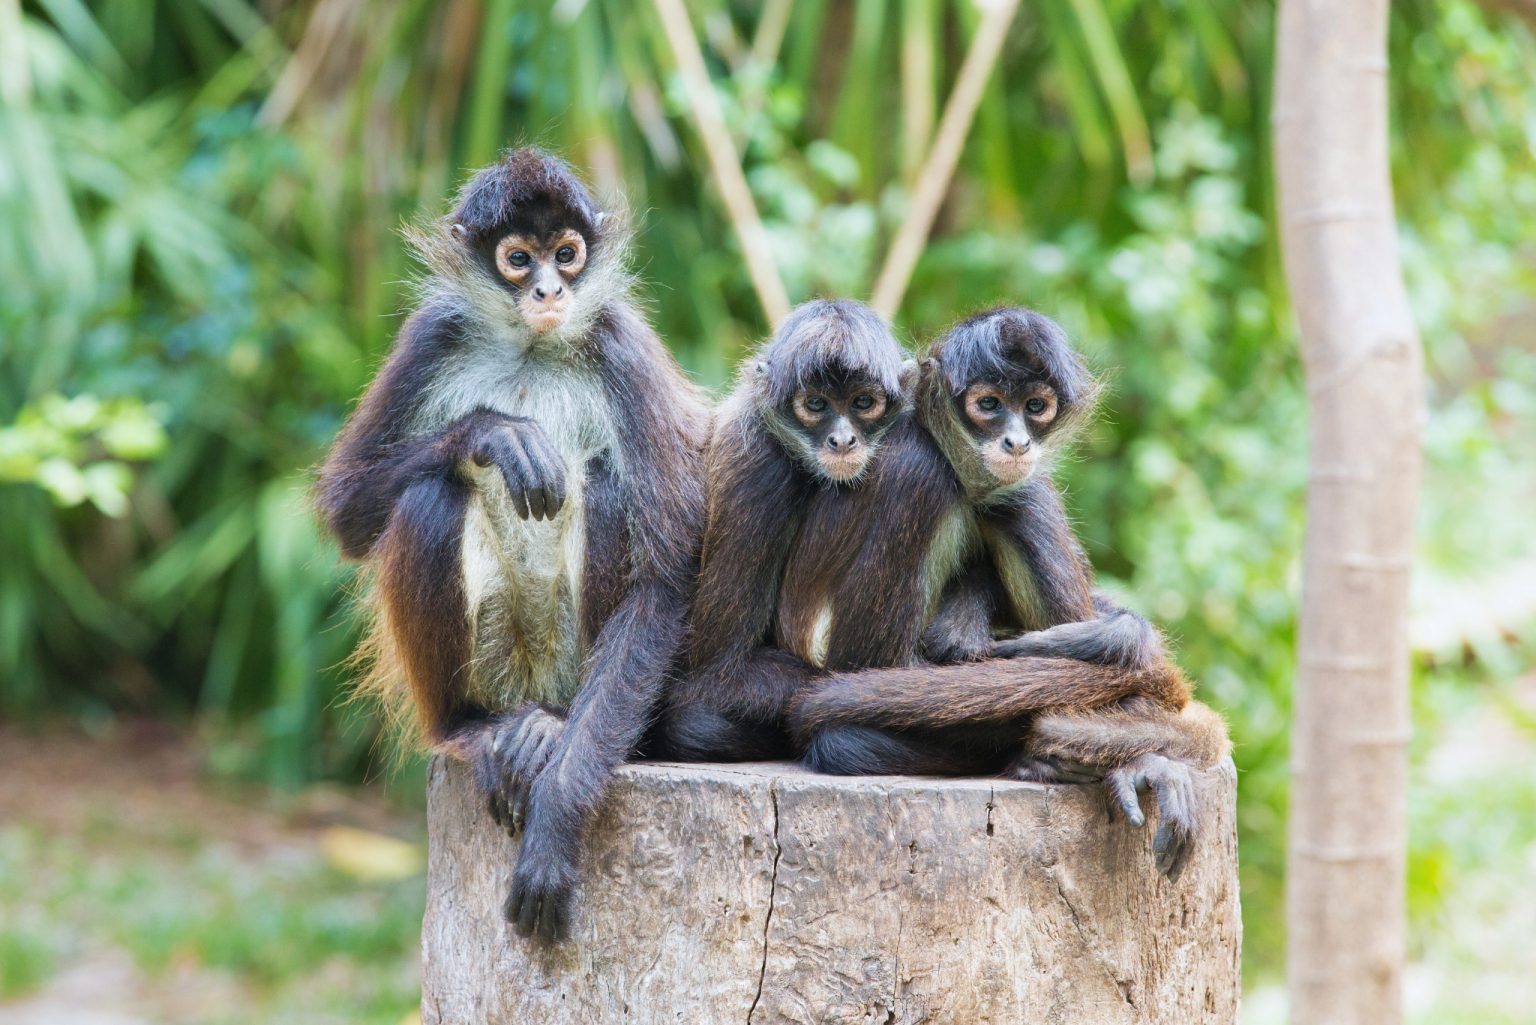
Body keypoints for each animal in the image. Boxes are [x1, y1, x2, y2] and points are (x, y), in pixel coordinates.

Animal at [316, 149, 708, 942]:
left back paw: (549, 732)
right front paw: (493, 434)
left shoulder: (620, 340)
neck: (532, 347)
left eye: (568, 253)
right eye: (518, 258)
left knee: (608, 482)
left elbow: (665, 583)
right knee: (431, 496)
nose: (550, 289)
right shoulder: (433, 331)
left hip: (569, 667)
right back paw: (470, 730)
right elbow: (345, 510)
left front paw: (555, 829)